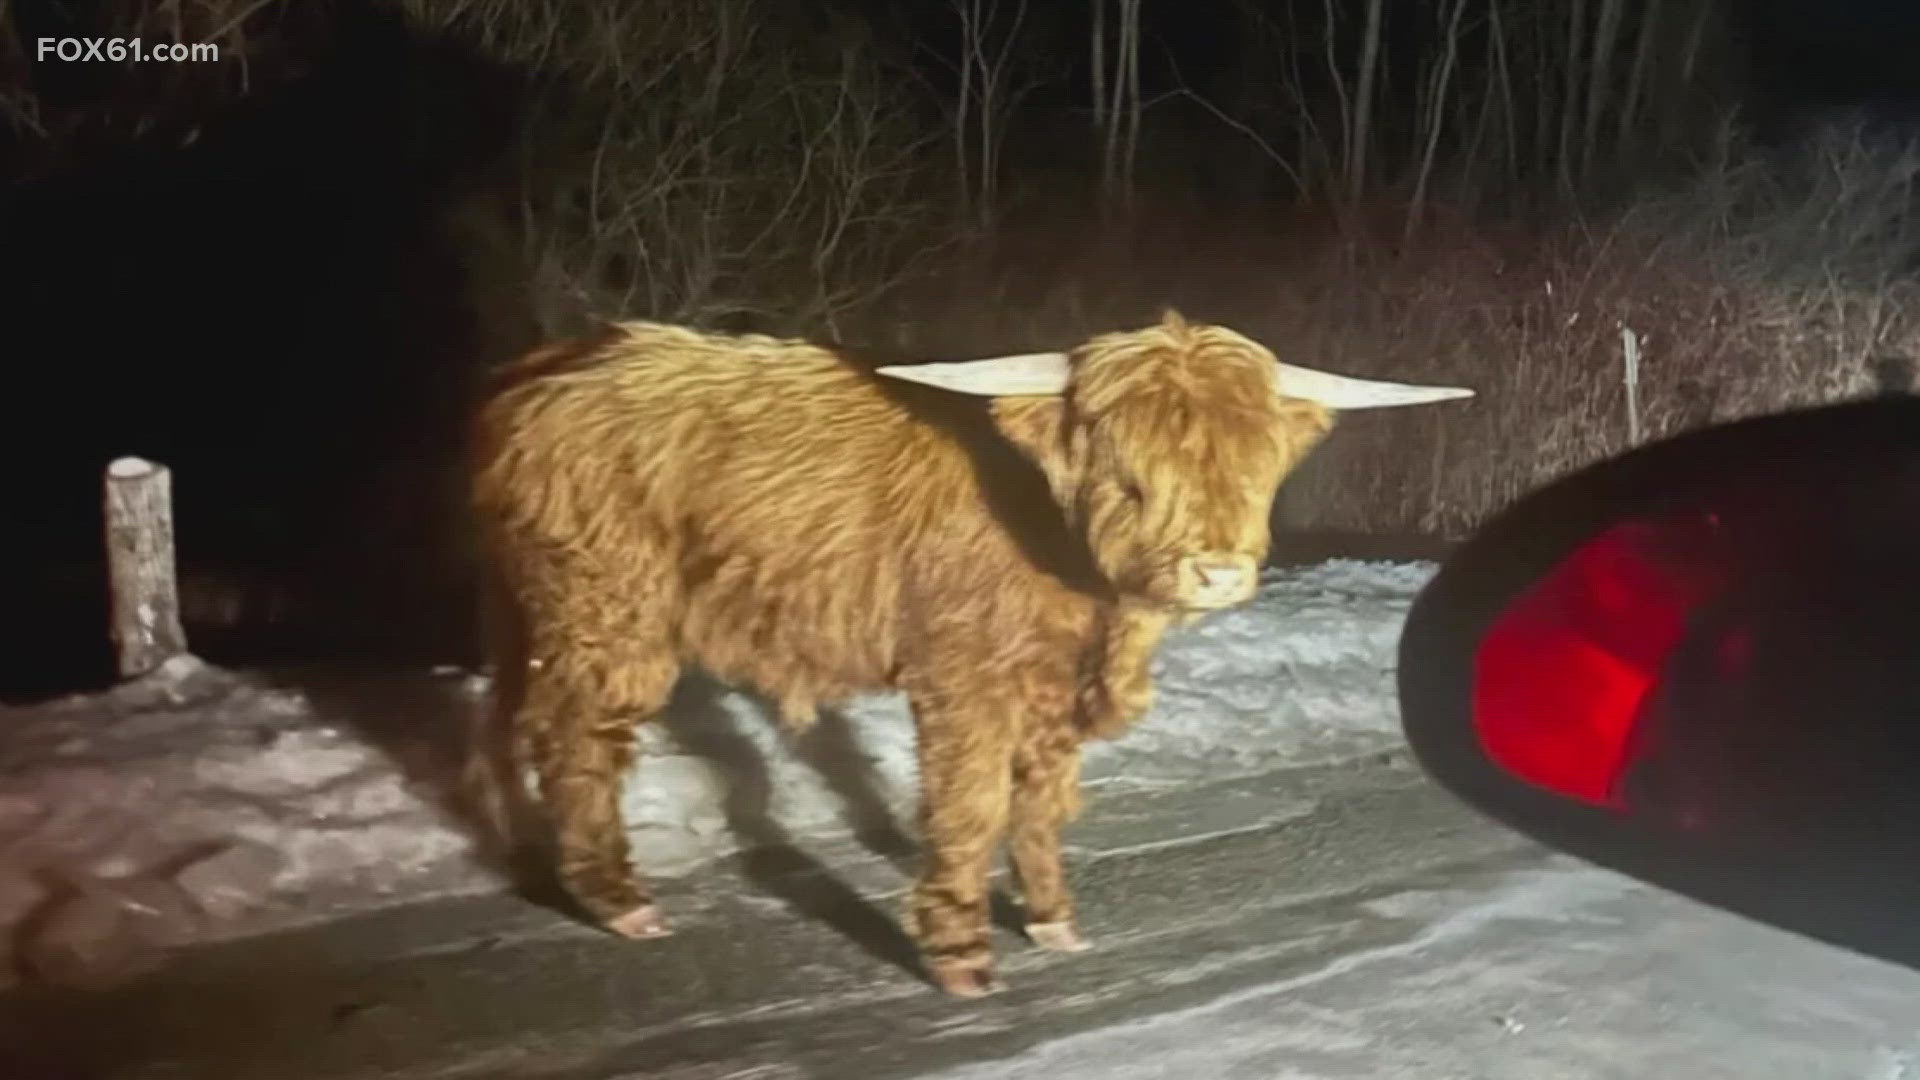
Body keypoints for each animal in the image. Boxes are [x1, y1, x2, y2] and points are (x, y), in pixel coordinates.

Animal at [463, 310, 1471, 996]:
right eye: (1128, 473)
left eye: (1257, 466)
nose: (1216, 571)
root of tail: (544, 369)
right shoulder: (965, 673)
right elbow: (973, 801)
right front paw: (959, 953)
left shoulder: (1052, 682)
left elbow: (1044, 799)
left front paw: (1053, 919)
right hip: (608, 609)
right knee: (579, 742)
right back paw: (618, 900)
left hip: (535, 613)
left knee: (506, 724)